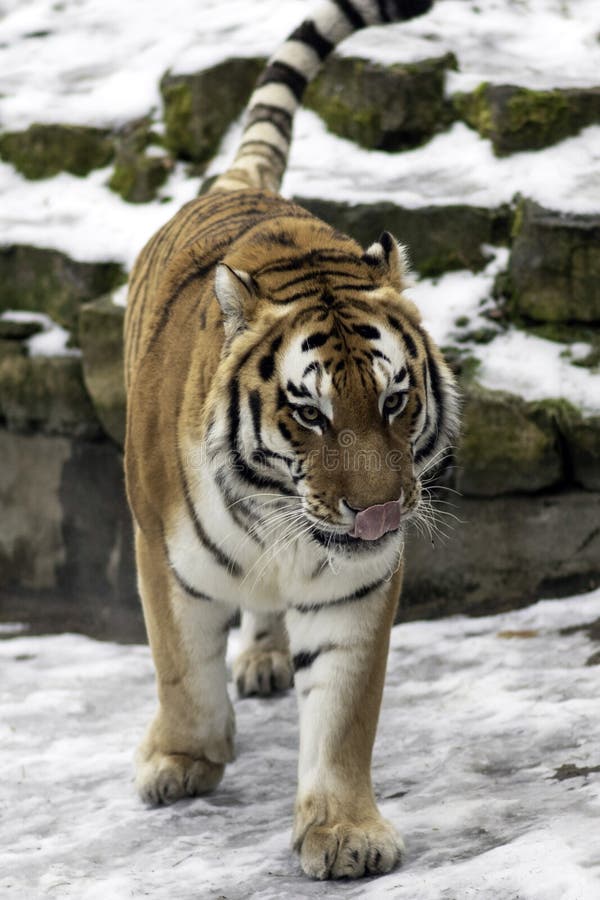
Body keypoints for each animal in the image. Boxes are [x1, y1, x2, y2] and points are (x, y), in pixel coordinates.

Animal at [124, 0, 459, 881]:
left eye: (396, 400)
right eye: (311, 414)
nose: (378, 514)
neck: (279, 520)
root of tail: (238, 186)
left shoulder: (355, 585)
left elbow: (343, 711)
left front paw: (343, 832)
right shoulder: (164, 555)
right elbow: (181, 666)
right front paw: (181, 760)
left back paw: (268, 657)